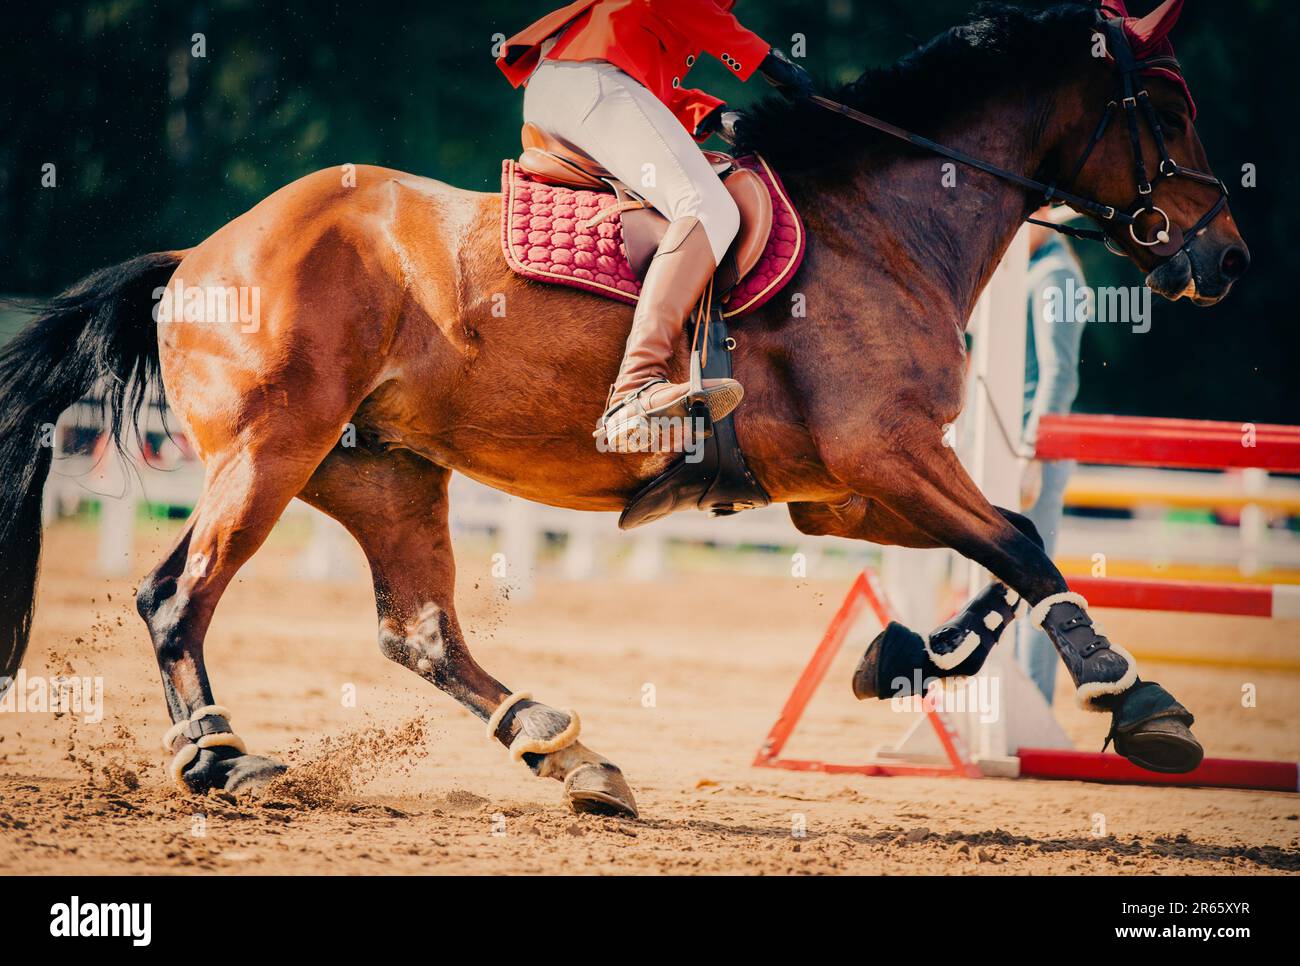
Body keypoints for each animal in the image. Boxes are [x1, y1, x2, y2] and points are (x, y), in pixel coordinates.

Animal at [0, 3, 1248, 818]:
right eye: (1169, 107)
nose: (1226, 260)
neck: (888, 221)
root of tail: (196, 256)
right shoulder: (885, 454)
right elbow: (1022, 545)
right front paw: (1137, 701)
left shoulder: (843, 493)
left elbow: (1002, 554)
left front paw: (899, 657)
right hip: (270, 451)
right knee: (177, 594)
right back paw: (223, 759)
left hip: (379, 470)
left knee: (420, 631)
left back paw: (565, 755)